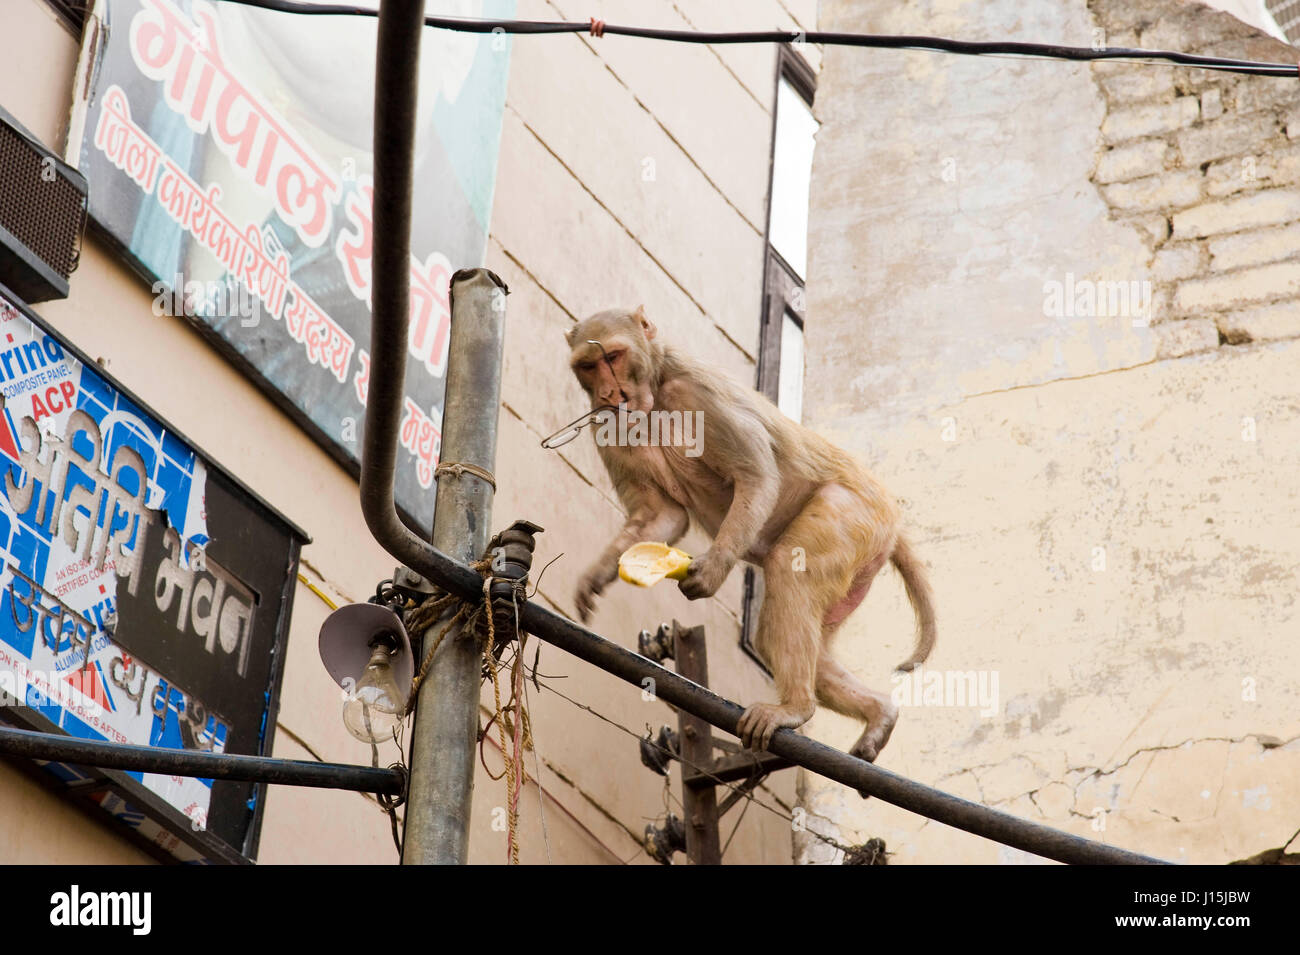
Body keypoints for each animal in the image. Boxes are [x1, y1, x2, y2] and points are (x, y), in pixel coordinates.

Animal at [565, 306, 936, 774]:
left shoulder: (698, 392)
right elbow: (659, 517)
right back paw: (878, 714)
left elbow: (755, 474)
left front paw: (714, 568)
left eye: (613, 355)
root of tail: (891, 524)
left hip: (855, 515)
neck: (656, 387)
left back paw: (795, 708)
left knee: (789, 568)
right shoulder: (606, 421)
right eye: (588, 365)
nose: (609, 391)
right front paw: (596, 576)